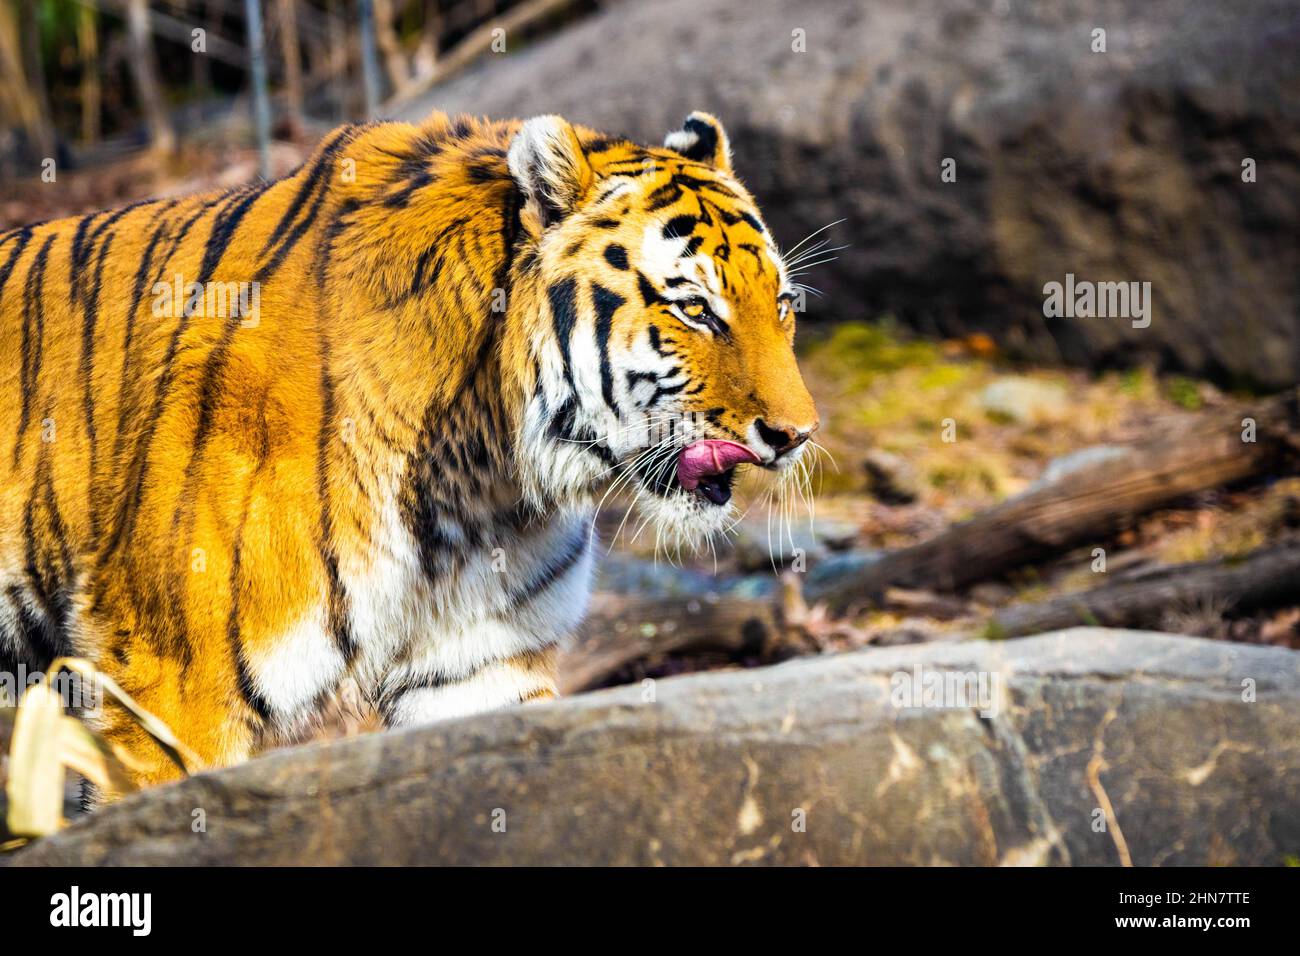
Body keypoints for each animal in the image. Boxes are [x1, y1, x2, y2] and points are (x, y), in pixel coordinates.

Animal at [0, 110, 818, 798]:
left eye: (781, 305)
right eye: (694, 309)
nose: (797, 434)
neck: (484, 481)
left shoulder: (480, 667)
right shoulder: (167, 687)